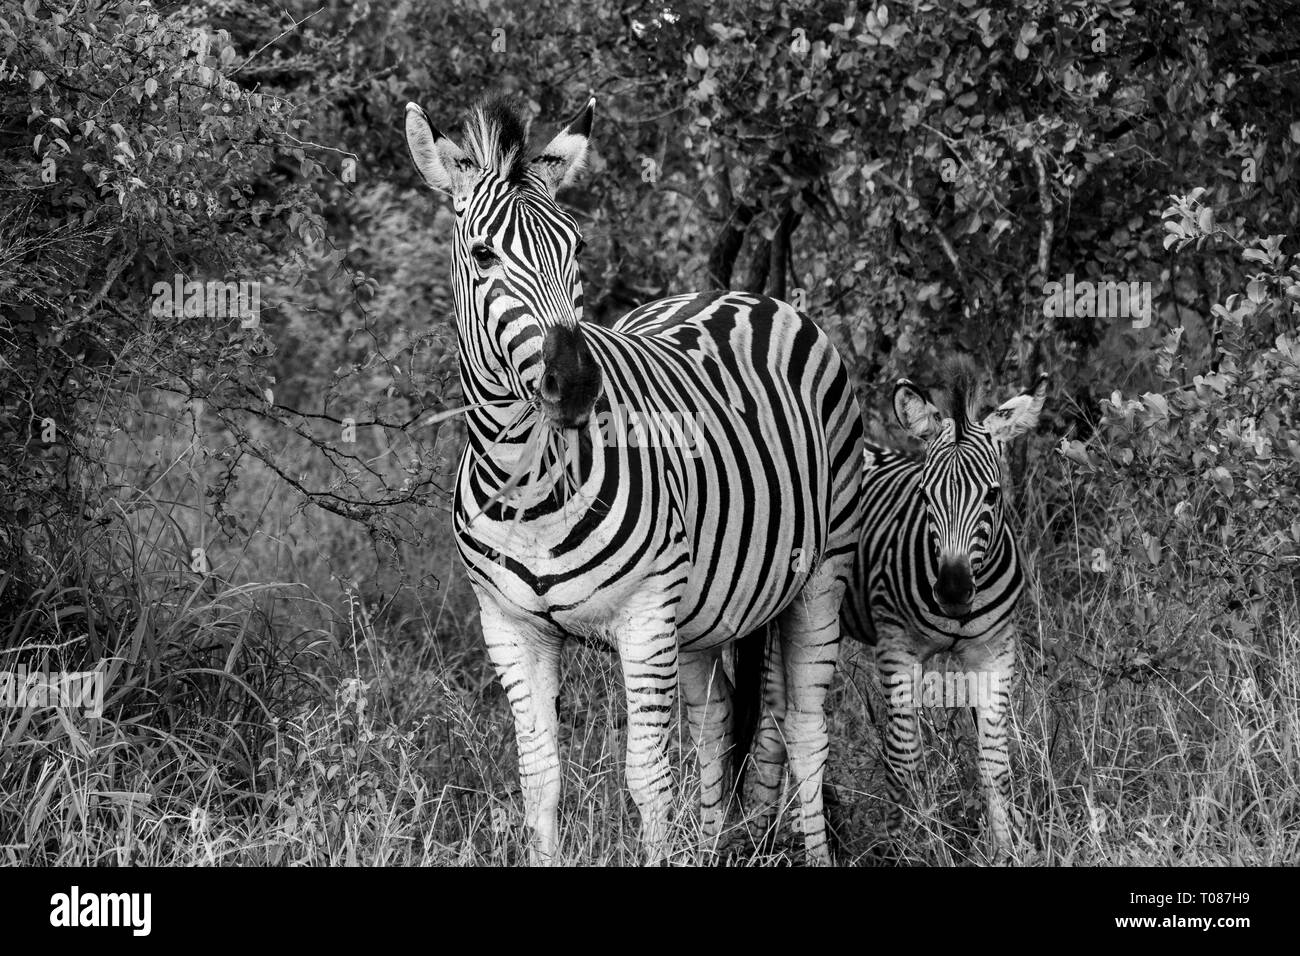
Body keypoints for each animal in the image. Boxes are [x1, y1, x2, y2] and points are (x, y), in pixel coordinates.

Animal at [404, 95, 864, 864]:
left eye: (576, 248)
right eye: (482, 255)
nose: (575, 385)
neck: (529, 487)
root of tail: (745, 294)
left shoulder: (647, 614)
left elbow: (648, 779)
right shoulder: (509, 628)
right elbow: (540, 778)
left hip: (821, 571)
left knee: (803, 726)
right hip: (709, 607)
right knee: (716, 717)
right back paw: (708, 846)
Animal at [840, 357, 1046, 858]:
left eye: (993, 494)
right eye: (925, 495)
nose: (952, 592)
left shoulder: (995, 653)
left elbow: (994, 763)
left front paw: (1007, 848)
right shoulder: (895, 649)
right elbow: (905, 757)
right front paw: (910, 843)